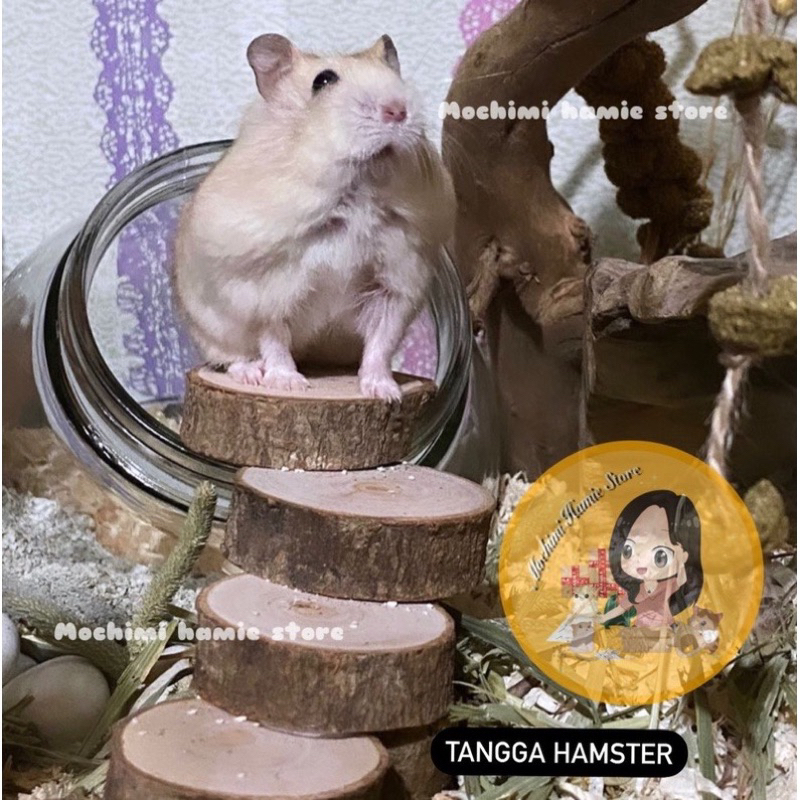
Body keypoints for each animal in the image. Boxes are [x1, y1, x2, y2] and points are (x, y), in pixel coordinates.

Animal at [173, 33, 456, 401]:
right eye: (323, 81)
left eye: (394, 74)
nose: (397, 110)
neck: (357, 193)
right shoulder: (268, 288)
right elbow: (275, 341)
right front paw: (288, 383)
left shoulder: (396, 285)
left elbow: (381, 344)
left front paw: (384, 391)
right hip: (211, 331)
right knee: (230, 357)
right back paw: (252, 373)